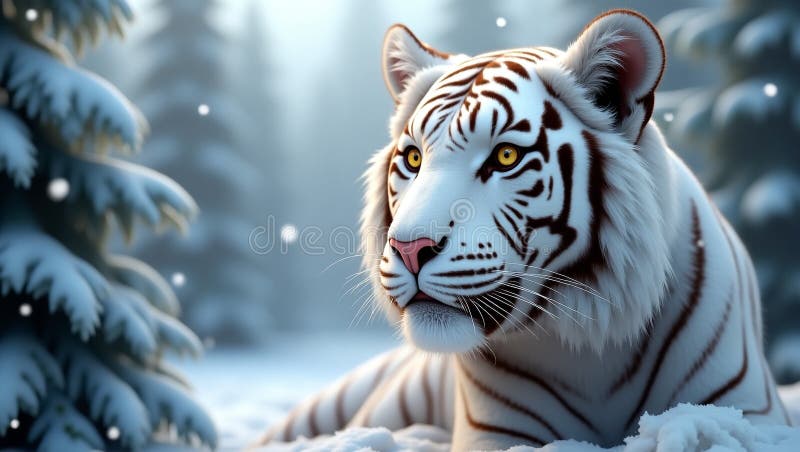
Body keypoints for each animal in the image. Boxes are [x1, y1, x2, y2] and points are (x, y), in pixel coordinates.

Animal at [256, 9, 791, 450]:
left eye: (505, 157)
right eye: (413, 159)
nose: (410, 249)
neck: (594, 345)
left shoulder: (749, 413)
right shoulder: (498, 433)